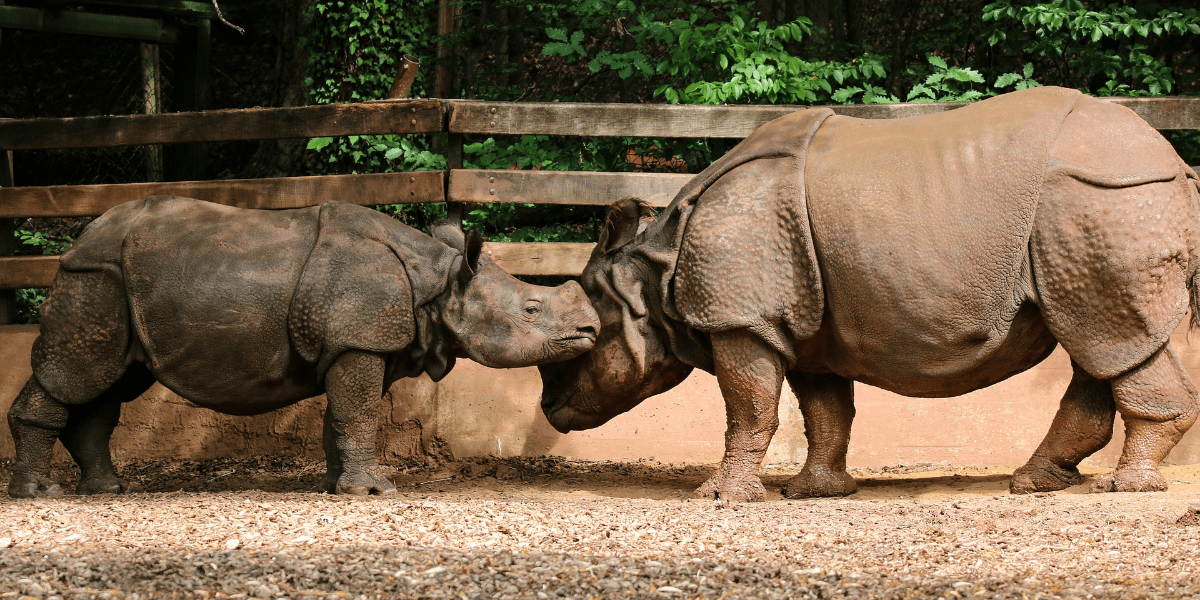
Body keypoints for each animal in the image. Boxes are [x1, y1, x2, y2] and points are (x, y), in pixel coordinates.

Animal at [7, 196, 600, 498]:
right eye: (532, 309)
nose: (592, 330)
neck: (441, 282)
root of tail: (80, 236)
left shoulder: (357, 342)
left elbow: (343, 414)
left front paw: (339, 486)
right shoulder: (359, 338)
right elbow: (358, 412)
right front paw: (373, 492)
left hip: (117, 282)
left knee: (111, 381)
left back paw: (107, 490)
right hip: (95, 278)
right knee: (80, 373)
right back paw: (40, 495)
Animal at [539, 86, 1200, 501]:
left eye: (586, 341)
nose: (548, 410)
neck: (650, 277)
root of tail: (1172, 160)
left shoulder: (742, 319)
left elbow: (749, 406)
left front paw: (719, 498)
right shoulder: (803, 323)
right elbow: (824, 410)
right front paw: (814, 492)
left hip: (1101, 198)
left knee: (1109, 336)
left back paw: (1123, 487)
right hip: (1095, 211)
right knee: (1100, 346)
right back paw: (1037, 483)